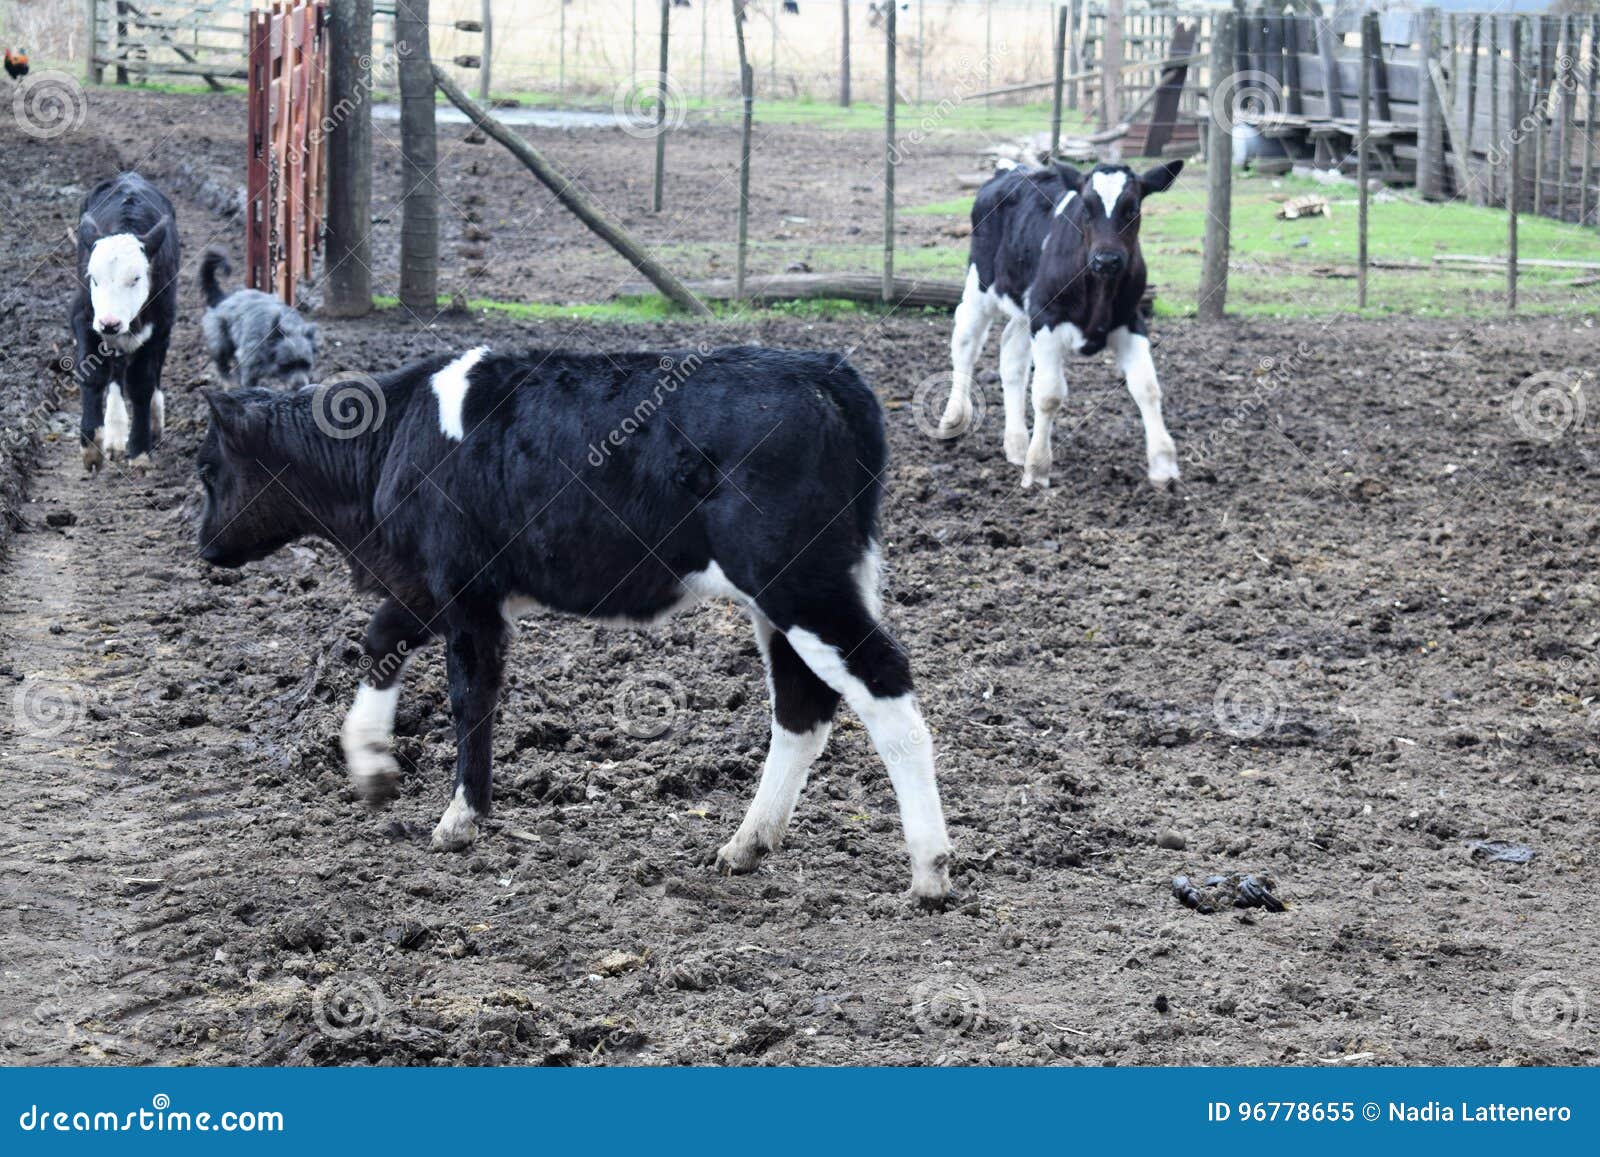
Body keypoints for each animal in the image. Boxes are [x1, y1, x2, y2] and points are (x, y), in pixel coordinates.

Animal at [70, 173, 179, 470]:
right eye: (93, 278)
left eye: (136, 278)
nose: (110, 323)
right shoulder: (83, 317)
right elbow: (94, 375)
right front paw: (91, 446)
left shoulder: (159, 326)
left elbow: (141, 384)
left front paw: (140, 450)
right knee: (116, 371)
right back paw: (115, 436)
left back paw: (153, 421)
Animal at [195, 346, 954, 907]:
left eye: (206, 469)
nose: (203, 548)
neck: (395, 433)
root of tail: (824, 369)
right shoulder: (424, 584)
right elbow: (380, 643)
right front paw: (373, 766)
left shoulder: (463, 590)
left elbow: (471, 698)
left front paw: (461, 818)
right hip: (790, 593)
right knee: (802, 707)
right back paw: (747, 843)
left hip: (799, 582)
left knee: (884, 685)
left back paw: (929, 870)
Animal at [938, 161, 1184, 490]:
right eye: (1086, 209)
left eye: (1132, 209)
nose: (1107, 260)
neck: (1099, 289)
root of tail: (1010, 168)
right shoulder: (1047, 319)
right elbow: (1049, 395)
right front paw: (1037, 468)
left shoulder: (1130, 320)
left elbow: (1146, 386)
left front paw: (1164, 466)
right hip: (981, 282)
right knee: (966, 342)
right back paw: (952, 419)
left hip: (1026, 305)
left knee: (1011, 356)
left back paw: (1017, 445)